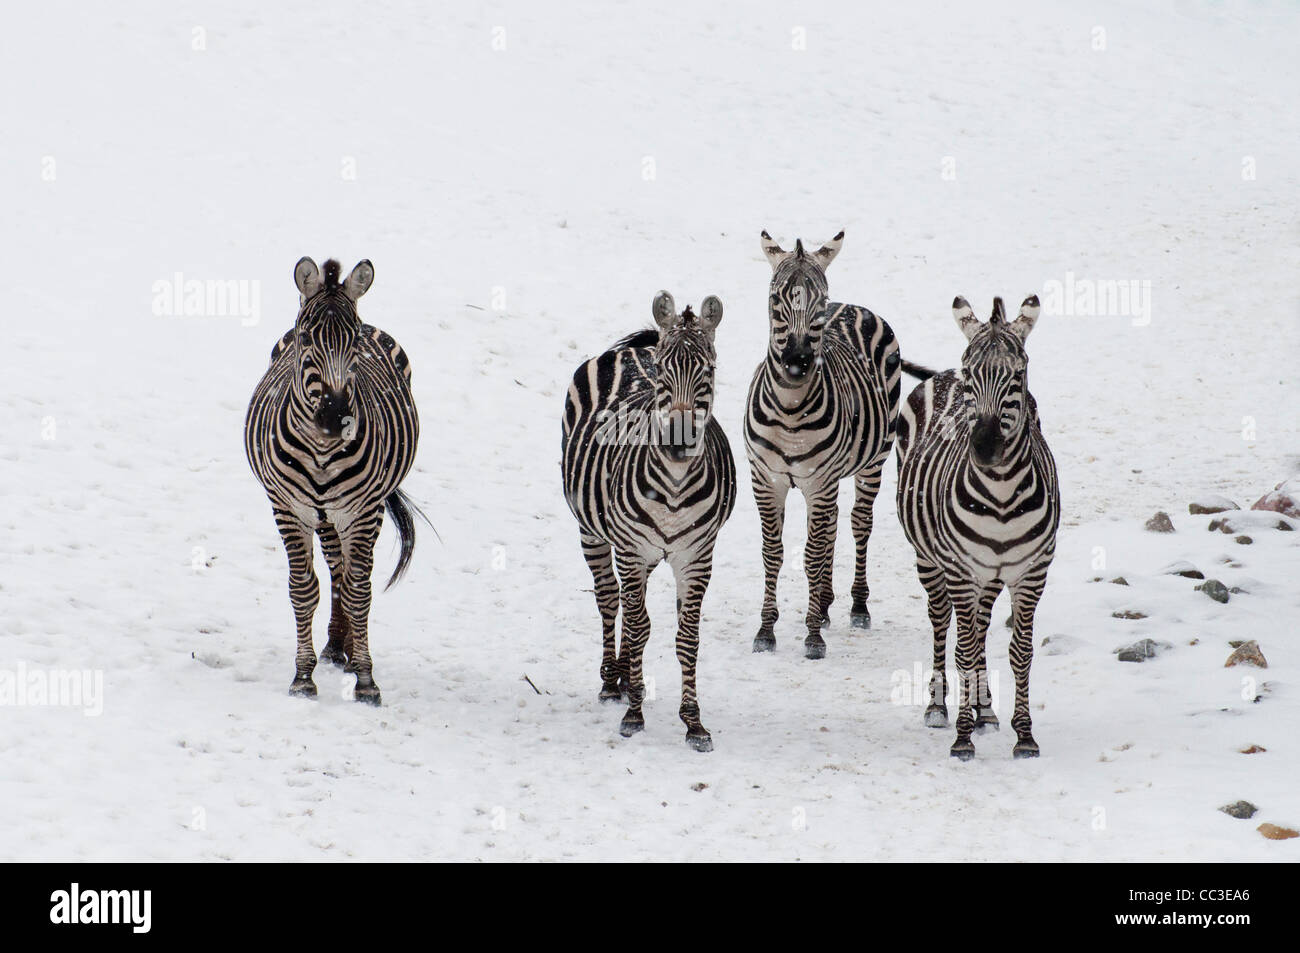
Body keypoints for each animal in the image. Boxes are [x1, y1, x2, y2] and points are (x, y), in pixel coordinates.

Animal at [245, 257, 421, 706]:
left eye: (353, 342)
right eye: (308, 339)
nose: (335, 417)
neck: (323, 451)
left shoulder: (364, 510)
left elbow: (360, 591)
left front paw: (366, 679)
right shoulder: (288, 508)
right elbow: (303, 589)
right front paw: (303, 677)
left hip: (355, 512)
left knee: (349, 573)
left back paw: (348, 650)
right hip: (323, 516)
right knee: (336, 567)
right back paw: (335, 647)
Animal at [561, 291, 737, 751]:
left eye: (709, 370)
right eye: (663, 371)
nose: (677, 442)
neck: (672, 489)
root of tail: (634, 348)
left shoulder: (696, 557)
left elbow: (687, 636)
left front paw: (693, 722)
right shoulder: (631, 549)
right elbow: (640, 625)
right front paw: (634, 714)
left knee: (626, 600)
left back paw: (624, 677)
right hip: (593, 532)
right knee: (610, 597)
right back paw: (612, 682)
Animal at [745, 230, 931, 659]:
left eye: (819, 301)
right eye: (776, 298)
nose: (797, 362)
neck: (789, 411)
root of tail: (854, 306)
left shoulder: (820, 481)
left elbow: (812, 555)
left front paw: (813, 636)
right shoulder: (766, 480)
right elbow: (772, 553)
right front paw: (766, 630)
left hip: (874, 460)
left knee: (858, 523)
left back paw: (856, 606)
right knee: (830, 526)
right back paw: (826, 603)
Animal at [895, 294, 1059, 760]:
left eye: (1017, 374)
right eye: (972, 373)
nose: (985, 448)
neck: (1001, 494)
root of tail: (941, 374)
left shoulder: (1031, 572)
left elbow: (1019, 651)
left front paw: (1024, 735)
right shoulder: (960, 570)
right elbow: (964, 649)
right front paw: (962, 737)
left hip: (991, 575)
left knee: (981, 627)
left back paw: (985, 710)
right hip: (931, 560)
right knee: (942, 622)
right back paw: (939, 708)